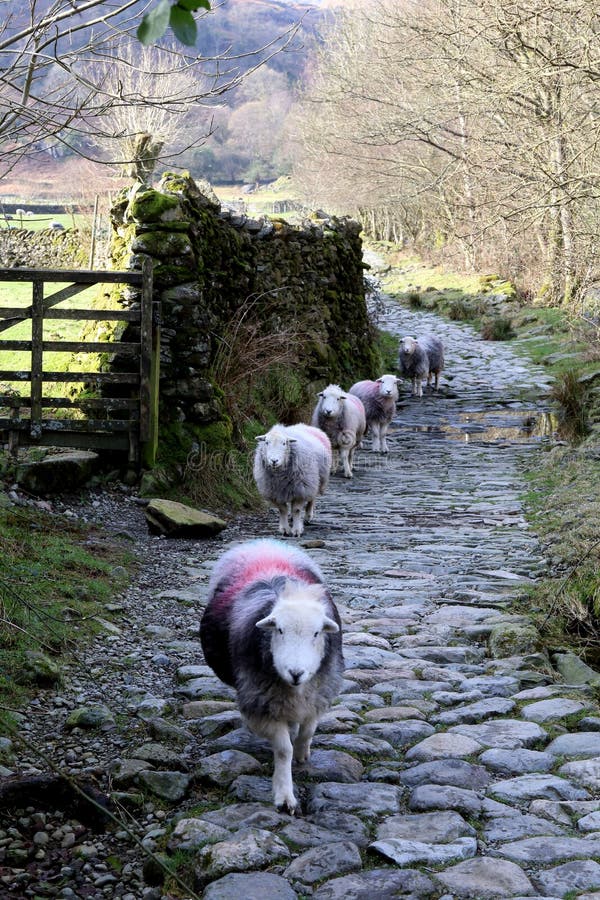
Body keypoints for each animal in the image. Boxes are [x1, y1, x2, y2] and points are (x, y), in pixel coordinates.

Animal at [200, 538, 344, 814]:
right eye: (279, 630)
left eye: (317, 633)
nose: (296, 673)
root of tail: (263, 543)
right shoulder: (262, 701)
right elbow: (283, 750)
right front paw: (285, 795)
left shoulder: (319, 692)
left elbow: (308, 730)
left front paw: (302, 753)